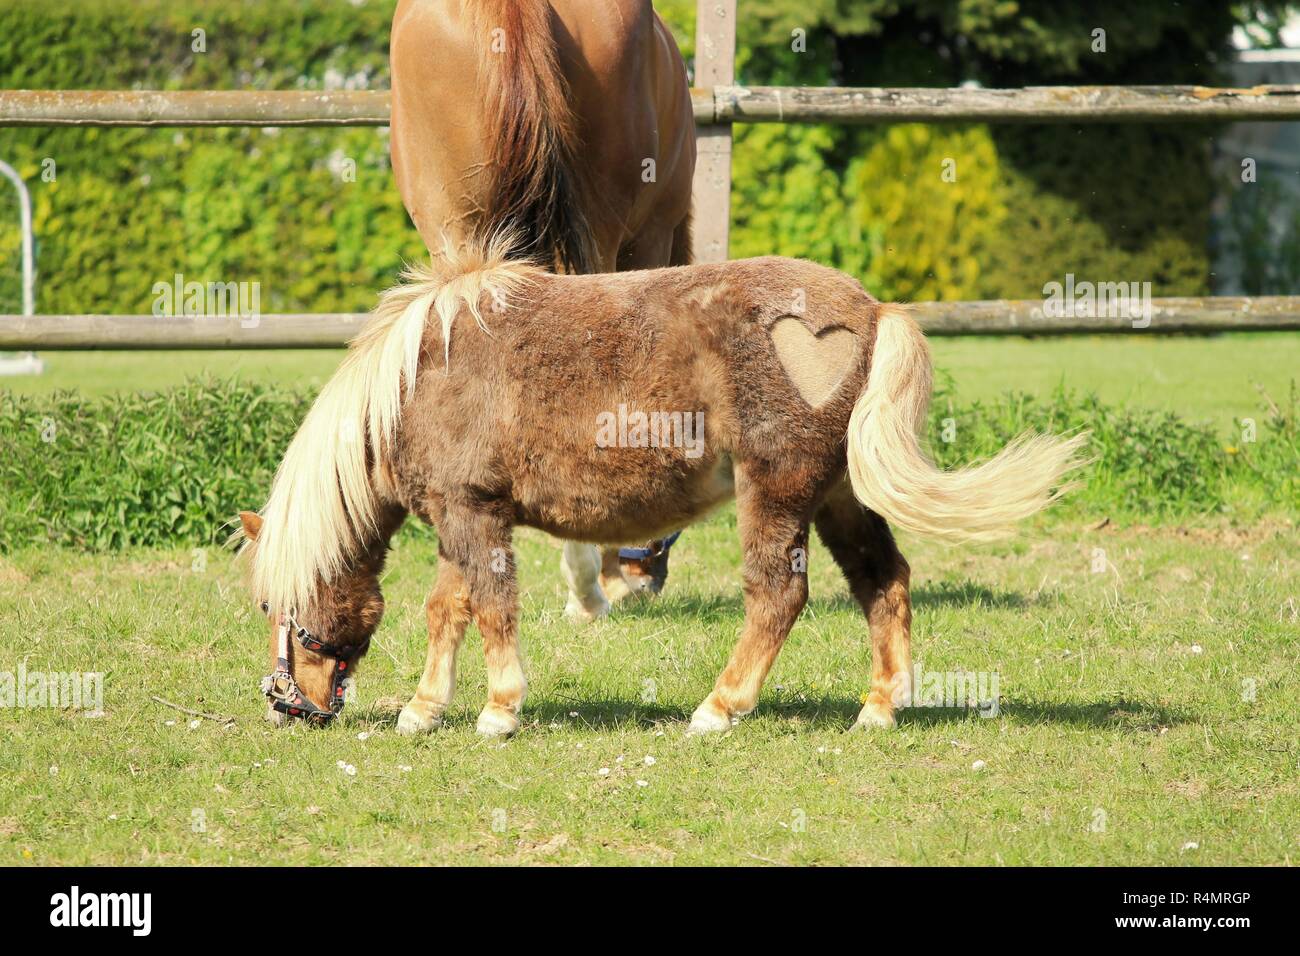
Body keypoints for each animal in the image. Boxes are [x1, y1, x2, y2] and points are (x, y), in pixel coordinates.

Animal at [237, 246, 1087, 735]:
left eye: (277, 604)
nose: (288, 704)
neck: (415, 381)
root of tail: (872, 312)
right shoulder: (461, 517)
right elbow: (448, 609)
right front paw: (423, 709)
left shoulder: (473, 516)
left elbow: (492, 608)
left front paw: (499, 710)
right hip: (841, 497)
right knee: (884, 582)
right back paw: (878, 709)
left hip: (777, 491)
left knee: (778, 597)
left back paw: (719, 708)